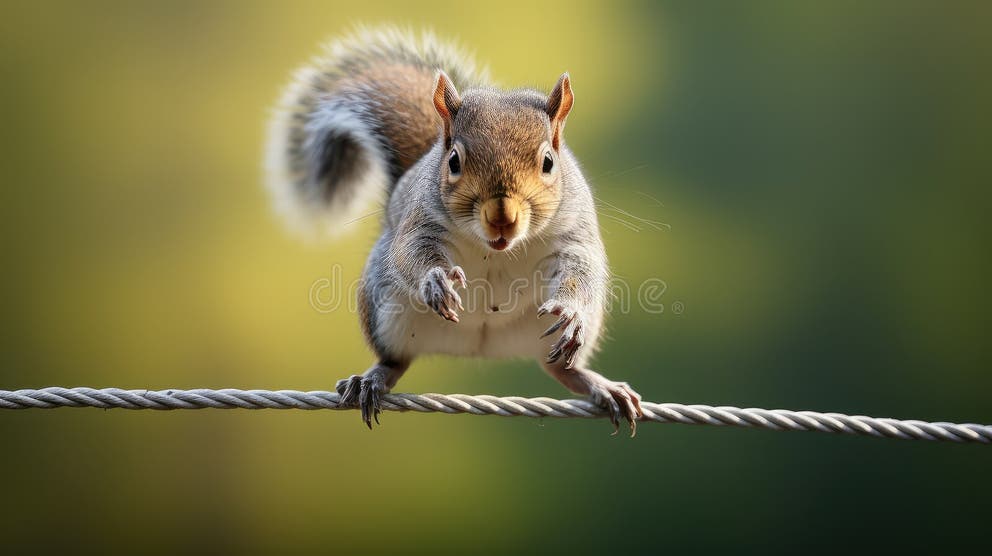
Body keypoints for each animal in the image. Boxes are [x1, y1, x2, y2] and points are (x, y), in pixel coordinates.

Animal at [266, 27, 644, 434]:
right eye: (454, 161)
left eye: (548, 162)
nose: (501, 217)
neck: (496, 246)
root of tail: (480, 347)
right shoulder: (421, 224)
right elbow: (412, 252)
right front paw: (436, 280)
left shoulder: (573, 235)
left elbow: (580, 269)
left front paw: (571, 312)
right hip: (384, 307)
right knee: (396, 359)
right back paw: (372, 380)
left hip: (554, 335)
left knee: (560, 367)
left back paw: (598, 385)